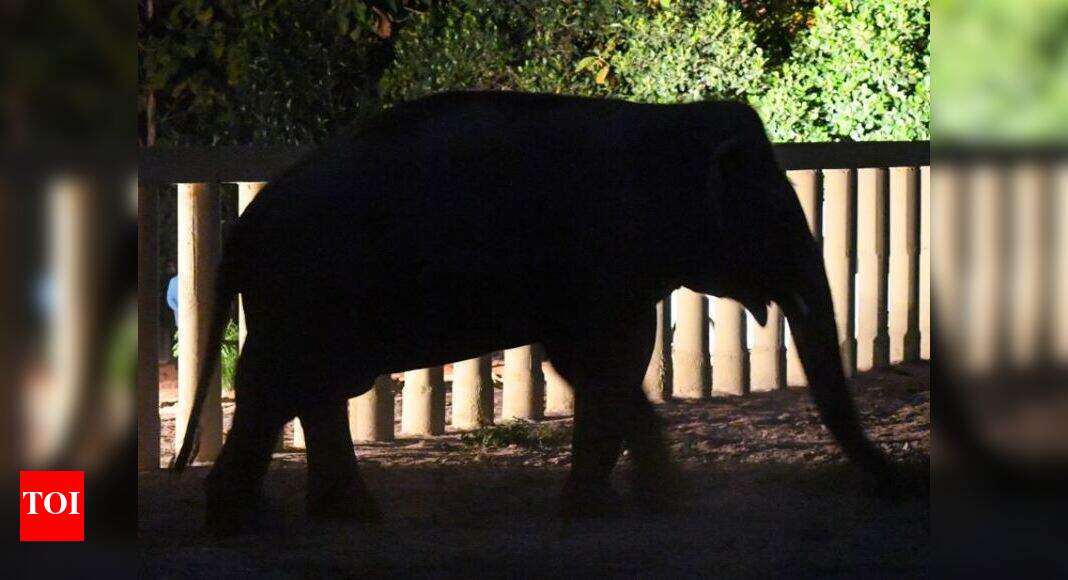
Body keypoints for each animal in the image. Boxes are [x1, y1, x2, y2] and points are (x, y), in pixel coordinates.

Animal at [172, 91, 895, 534]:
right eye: (777, 220)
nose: (896, 482)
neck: (667, 123)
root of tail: (243, 229)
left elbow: (600, 367)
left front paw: (644, 503)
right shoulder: (607, 255)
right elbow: (601, 361)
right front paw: (611, 508)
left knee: (308, 388)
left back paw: (341, 518)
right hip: (304, 291)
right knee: (280, 385)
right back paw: (248, 525)